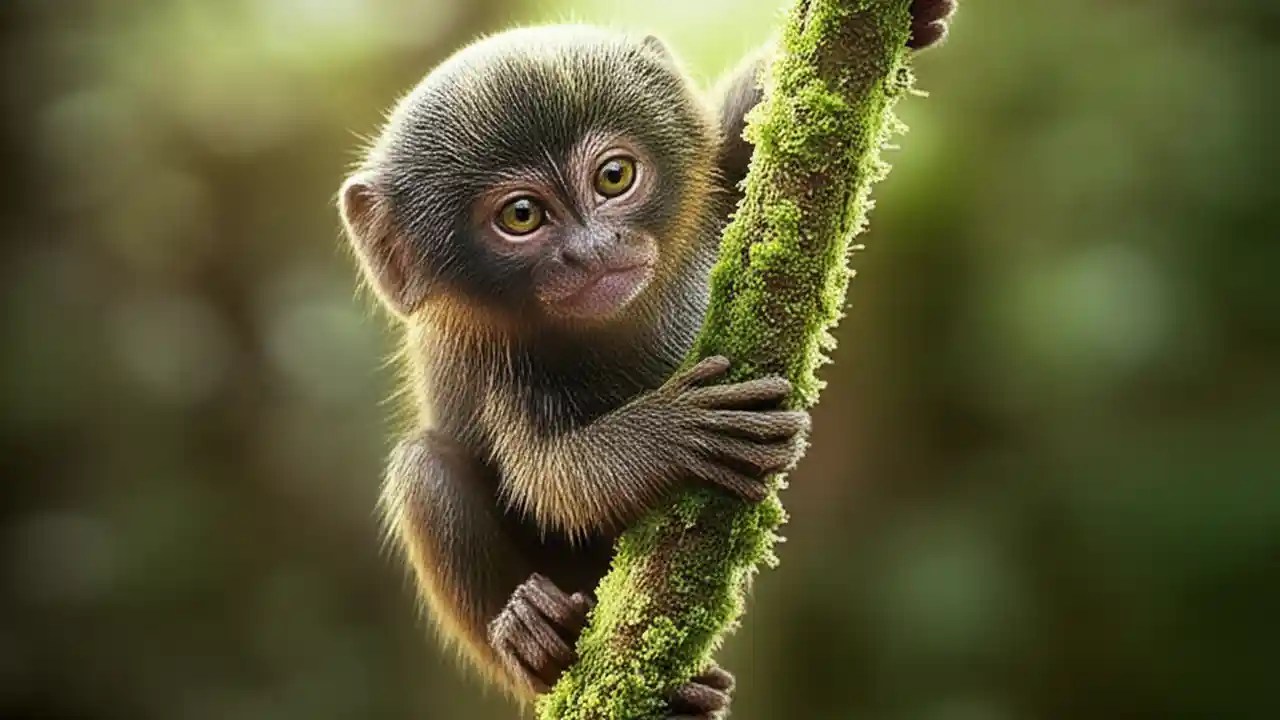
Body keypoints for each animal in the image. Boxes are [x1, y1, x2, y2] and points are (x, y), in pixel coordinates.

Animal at [338, 3, 955, 717]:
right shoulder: (492, 359)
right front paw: (677, 433)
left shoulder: (721, 178)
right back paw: (532, 636)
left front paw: (916, 21)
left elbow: (756, 122)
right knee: (424, 470)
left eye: (614, 177)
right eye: (521, 216)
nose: (593, 249)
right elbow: (553, 478)